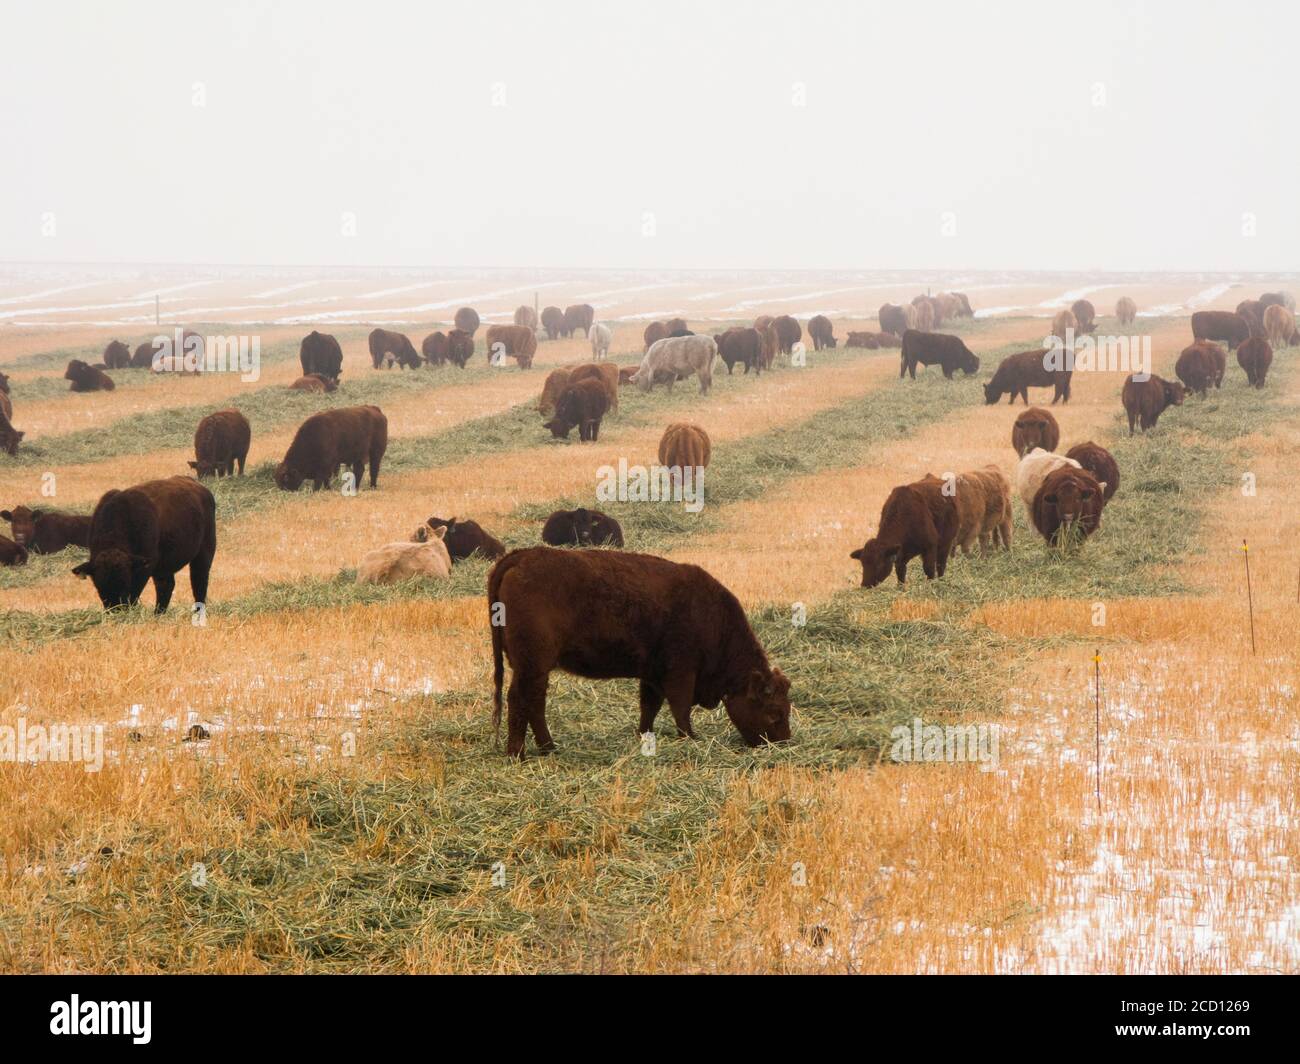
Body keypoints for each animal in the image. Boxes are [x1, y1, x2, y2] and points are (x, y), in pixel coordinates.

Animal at [72, 476, 216, 613]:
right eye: (100, 586)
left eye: (125, 582)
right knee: (166, 587)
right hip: (164, 567)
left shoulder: (143, 570)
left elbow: (134, 595)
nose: (117, 609)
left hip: (204, 553)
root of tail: (202, 489)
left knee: (199, 583)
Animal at [488, 547, 791, 757]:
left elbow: (649, 708)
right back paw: (518, 754)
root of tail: (520, 557)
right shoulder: (680, 673)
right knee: (521, 700)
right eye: (774, 711)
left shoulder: (652, 676)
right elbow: (680, 708)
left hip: (534, 669)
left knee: (533, 703)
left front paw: (645, 737)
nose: (784, 743)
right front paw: (689, 738)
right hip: (533, 667)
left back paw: (548, 748)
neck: (713, 618)